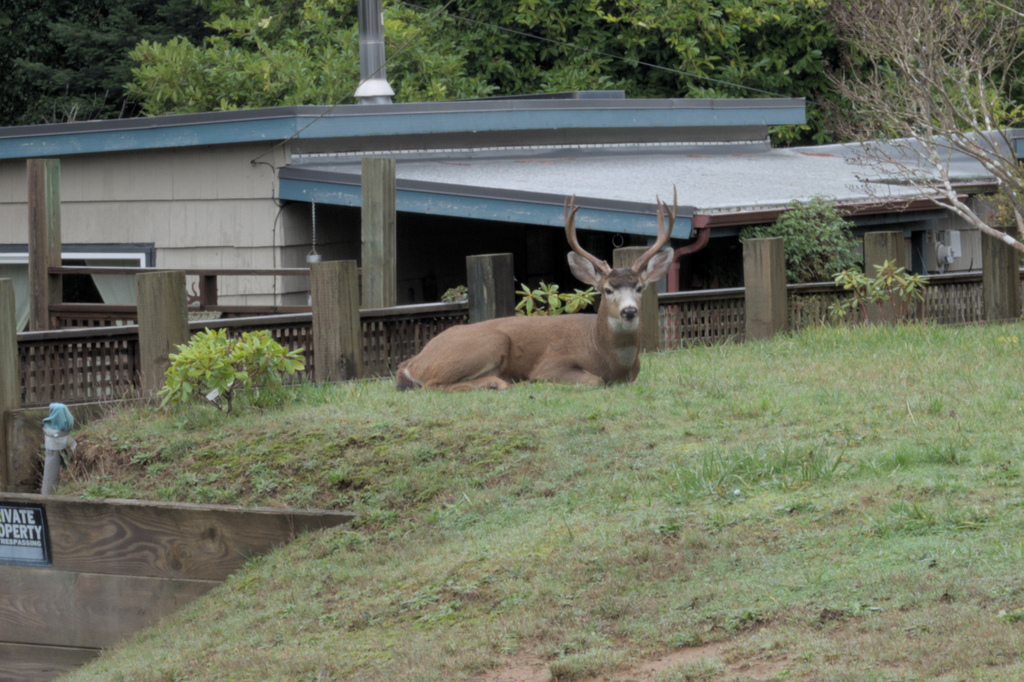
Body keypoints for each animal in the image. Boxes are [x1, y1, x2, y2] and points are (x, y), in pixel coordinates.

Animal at [395, 190, 677, 391]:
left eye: (639, 287)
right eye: (607, 290)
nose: (629, 311)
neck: (607, 357)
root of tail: (412, 363)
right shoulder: (551, 364)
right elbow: (594, 380)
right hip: (491, 341)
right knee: (432, 385)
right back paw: (497, 383)